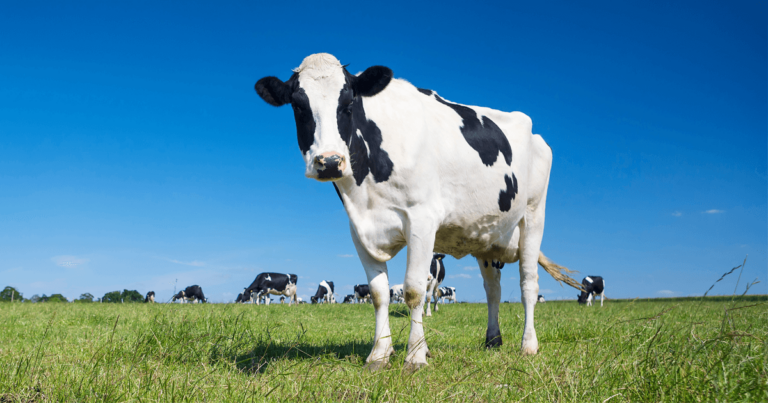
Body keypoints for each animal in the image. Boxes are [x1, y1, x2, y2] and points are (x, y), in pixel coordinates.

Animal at [254, 53, 581, 371]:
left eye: (348, 104)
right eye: (298, 105)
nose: (330, 162)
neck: (365, 193)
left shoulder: (422, 220)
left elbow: (413, 290)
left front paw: (415, 356)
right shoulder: (358, 231)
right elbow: (379, 294)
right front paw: (379, 355)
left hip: (533, 216)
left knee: (528, 284)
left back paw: (529, 345)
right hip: (486, 238)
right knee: (493, 289)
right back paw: (493, 339)